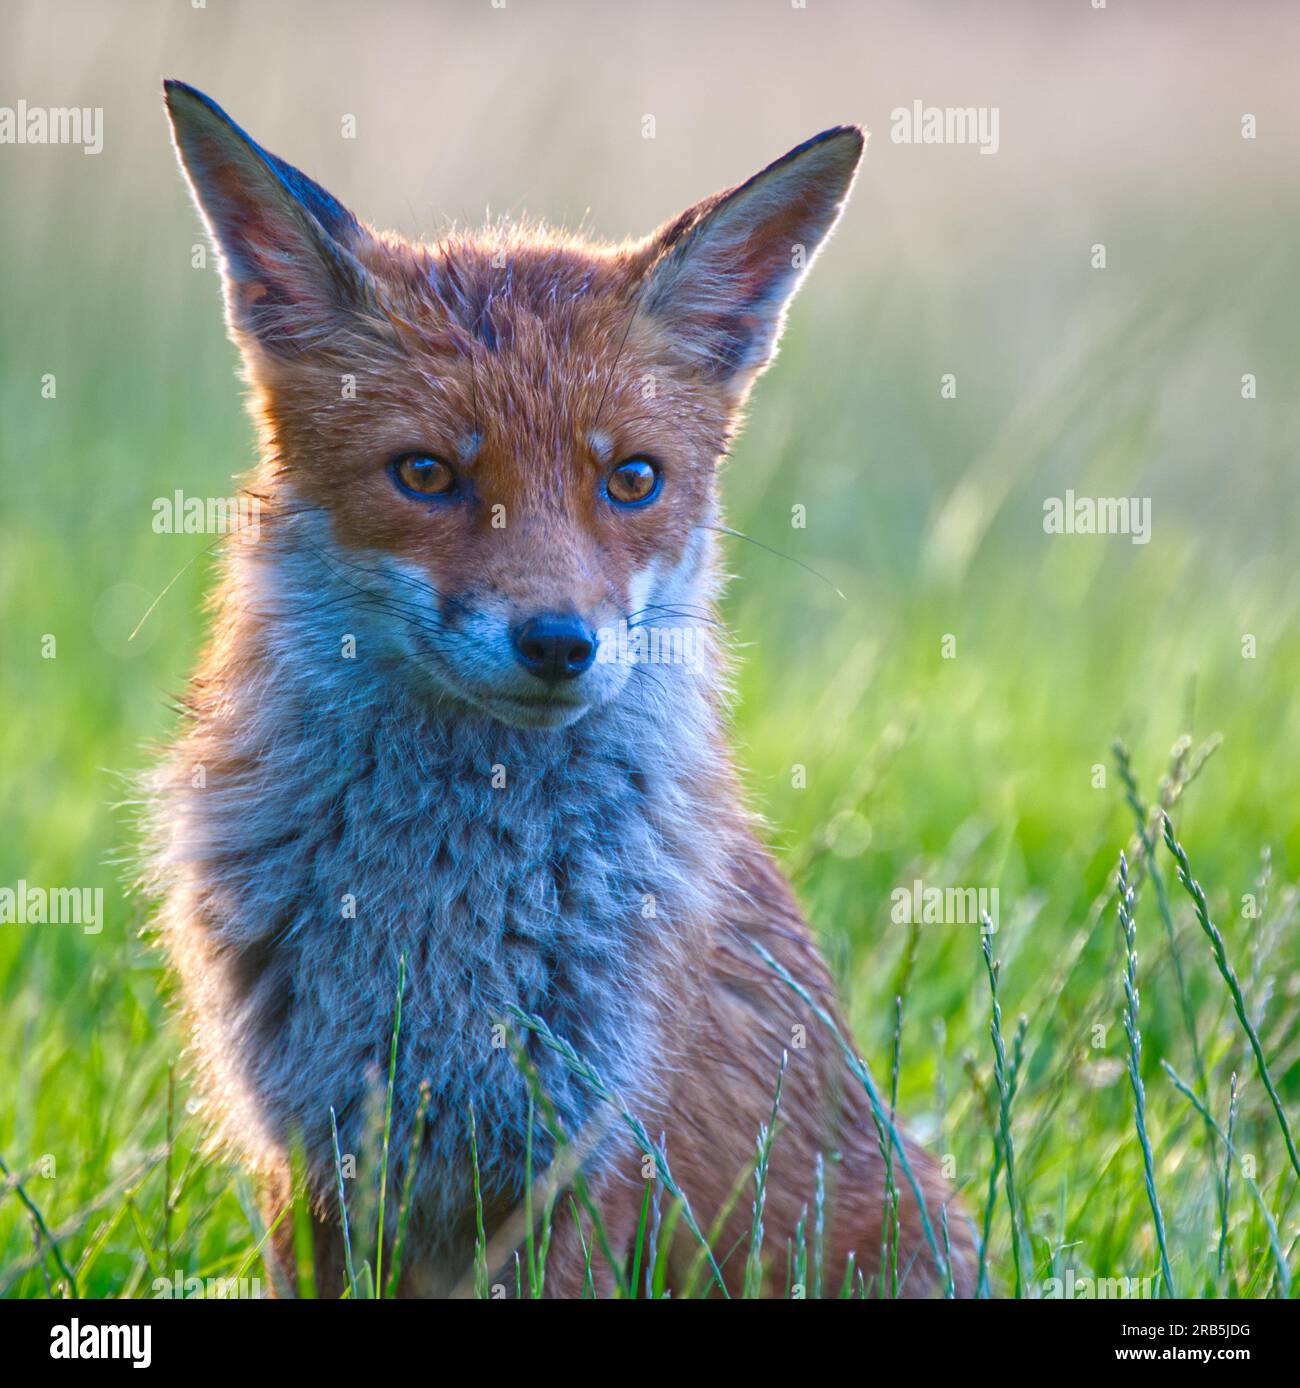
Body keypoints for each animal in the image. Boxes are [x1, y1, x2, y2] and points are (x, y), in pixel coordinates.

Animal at [147, 77, 975, 1298]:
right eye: (426, 473)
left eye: (631, 479)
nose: (558, 642)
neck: (447, 909)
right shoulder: (311, 1156)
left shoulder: (593, 1164)